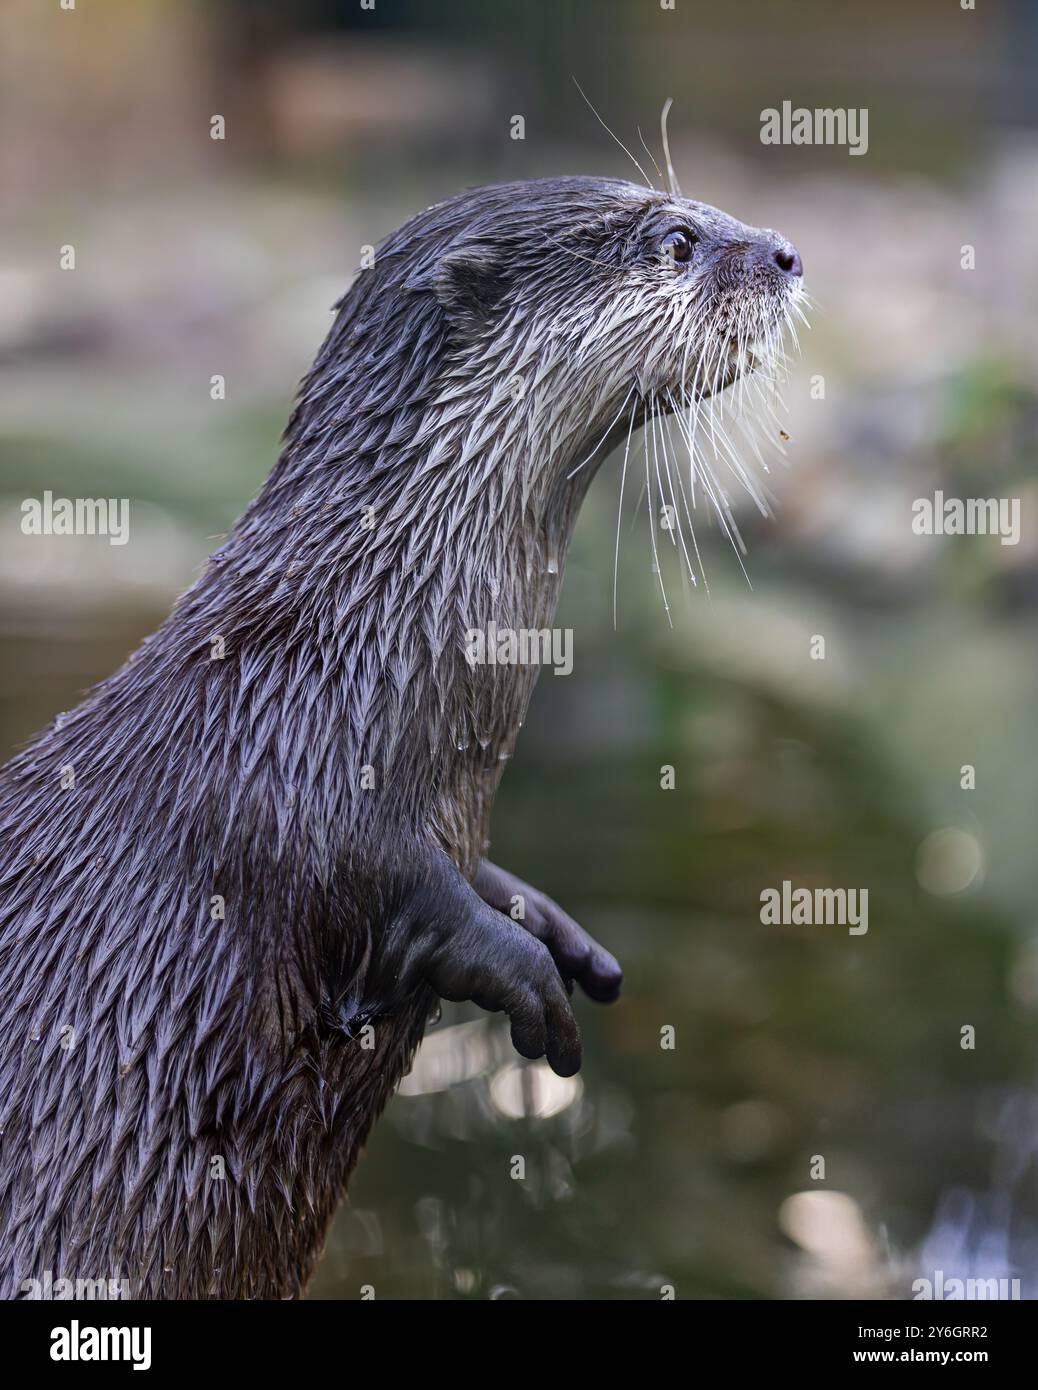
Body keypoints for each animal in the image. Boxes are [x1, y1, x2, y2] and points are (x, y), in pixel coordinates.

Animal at [0, 176, 803, 1299]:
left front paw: (560, 935)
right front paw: (526, 969)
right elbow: (375, 884)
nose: (786, 253)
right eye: (677, 240)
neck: (343, 647)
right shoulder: (290, 792)